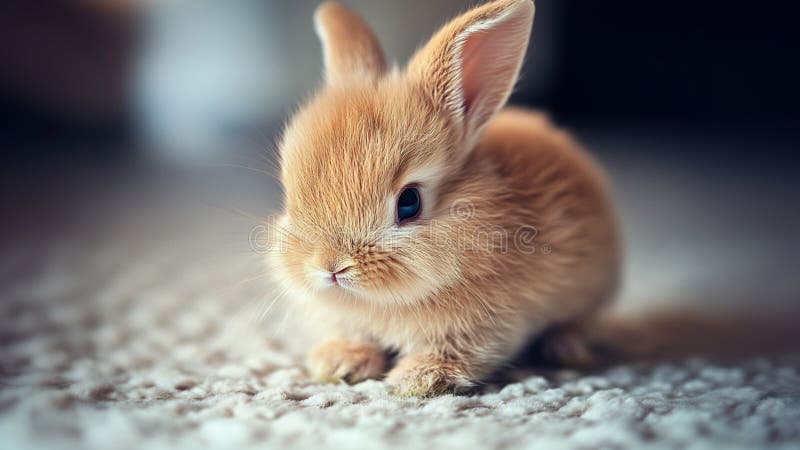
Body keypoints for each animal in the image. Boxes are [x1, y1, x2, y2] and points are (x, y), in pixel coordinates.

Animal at [267, 0, 620, 397]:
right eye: (290, 196)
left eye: (409, 202)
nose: (330, 267)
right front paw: (339, 363)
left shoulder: (482, 328)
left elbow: (455, 352)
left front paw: (417, 378)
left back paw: (567, 349)